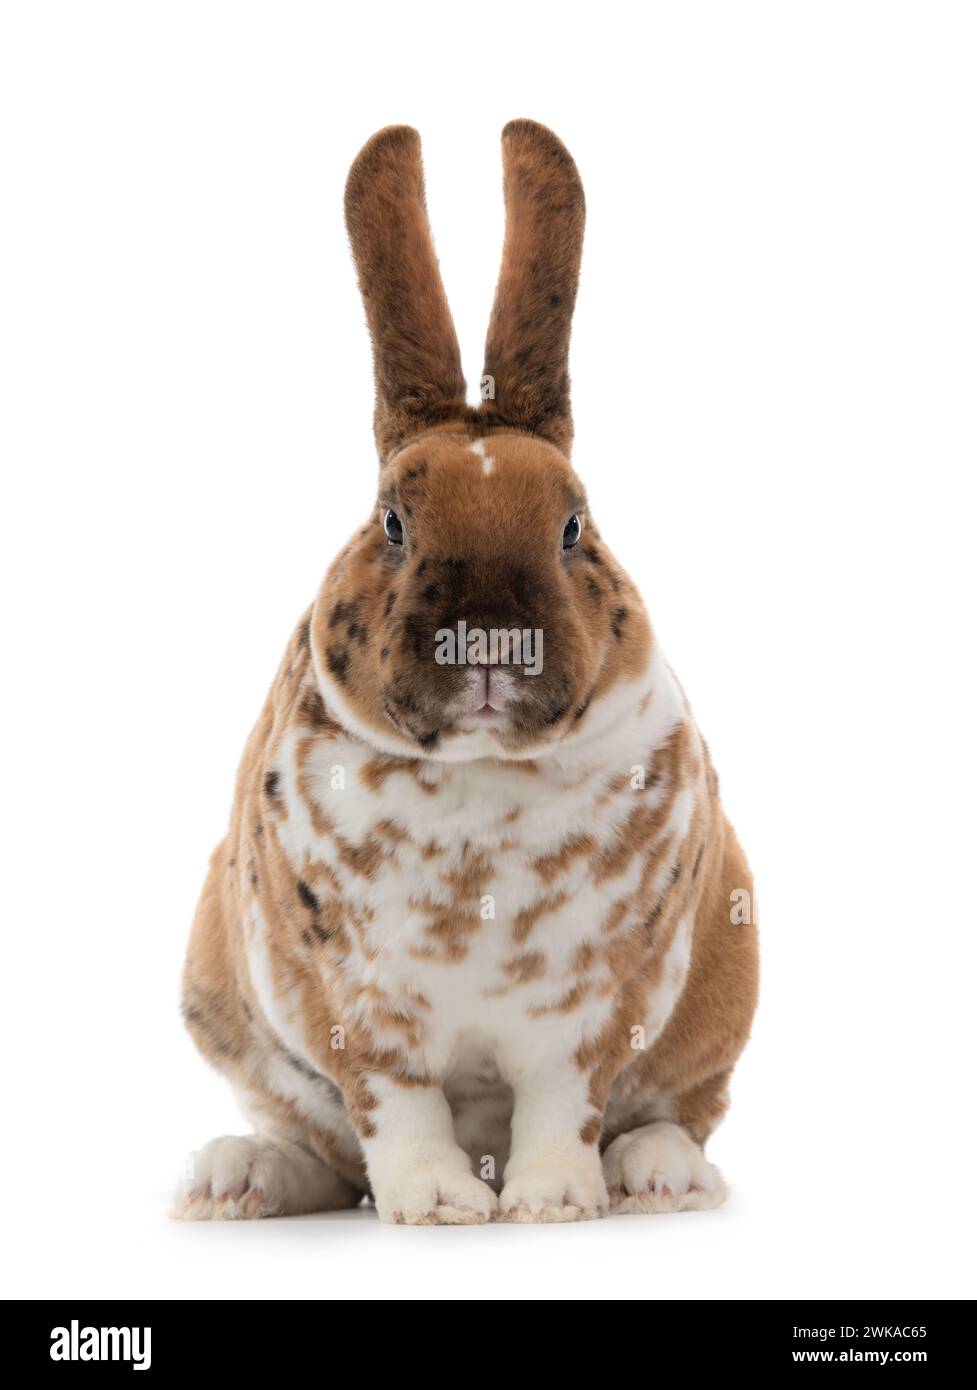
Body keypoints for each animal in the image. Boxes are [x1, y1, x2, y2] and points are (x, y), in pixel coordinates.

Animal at [173, 121, 759, 1225]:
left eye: (573, 523)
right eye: (392, 522)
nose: (487, 638)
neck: (480, 785)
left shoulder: (590, 1011)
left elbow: (564, 1103)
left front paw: (550, 1203)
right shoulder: (358, 1009)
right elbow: (393, 1109)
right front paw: (441, 1205)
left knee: (676, 1110)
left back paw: (654, 1174)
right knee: (319, 1149)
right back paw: (231, 1178)